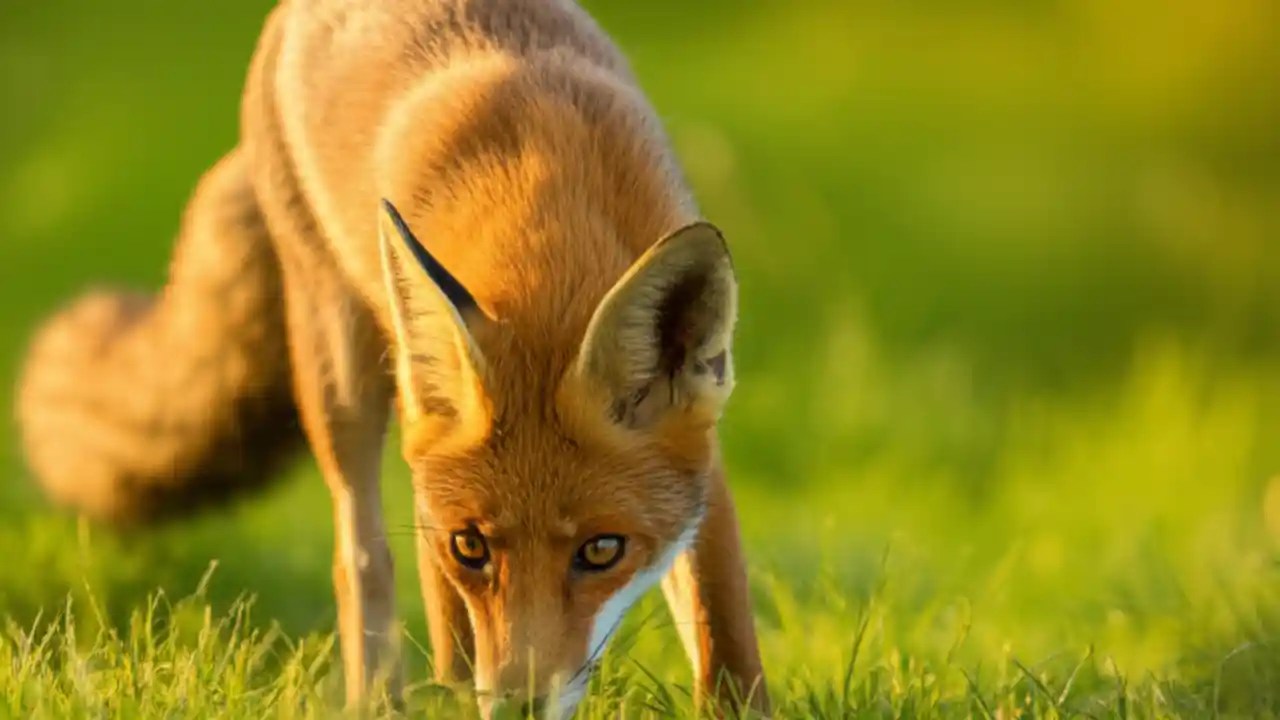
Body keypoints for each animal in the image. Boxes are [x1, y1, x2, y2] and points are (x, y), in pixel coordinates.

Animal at [15, 0, 768, 717]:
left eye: (602, 550)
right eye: (472, 547)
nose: (519, 706)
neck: (545, 209)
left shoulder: (702, 457)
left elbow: (721, 615)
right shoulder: (428, 481)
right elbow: (453, 641)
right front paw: (458, 703)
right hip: (342, 370)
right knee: (361, 555)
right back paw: (375, 698)